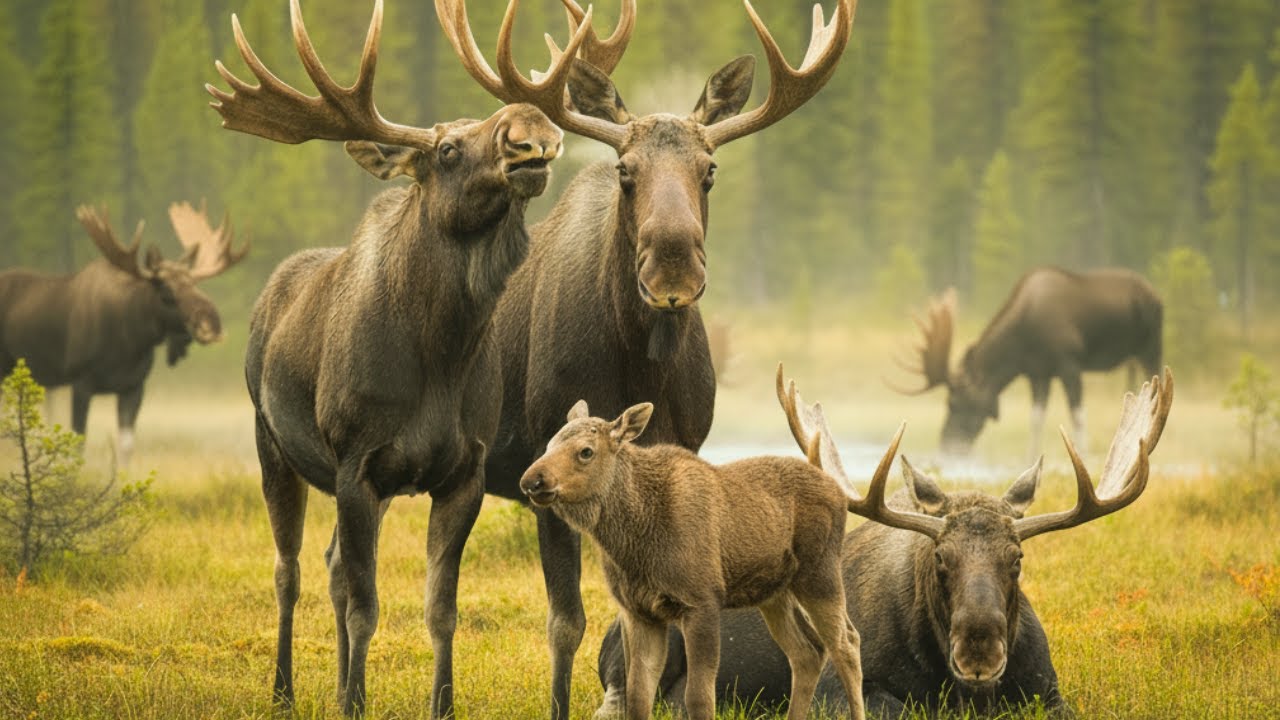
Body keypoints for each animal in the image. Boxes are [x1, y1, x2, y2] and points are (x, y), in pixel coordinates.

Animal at [0, 201, 246, 462]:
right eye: (166, 292)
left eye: (195, 284)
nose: (212, 322)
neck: (129, 343)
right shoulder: (80, 382)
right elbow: (79, 441)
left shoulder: (133, 387)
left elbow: (126, 446)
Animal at [204, 0, 580, 715]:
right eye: (447, 149)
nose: (531, 132)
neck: (440, 353)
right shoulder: (357, 461)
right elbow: (365, 608)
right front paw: (354, 701)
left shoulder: (463, 471)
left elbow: (440, 609)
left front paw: (440, 703)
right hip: (273, 444)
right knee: (291, 571)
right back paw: (286, 689)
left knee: (330, 566)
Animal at [519, 392, 869, 720]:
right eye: (550, 444)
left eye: (586, 451)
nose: (531, 480)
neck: (633, 544)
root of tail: (840, 493)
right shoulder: (639, 611)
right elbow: (638, 696)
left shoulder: (702, 601)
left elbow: (699, 699)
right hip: (775, 594)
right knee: (807, 652)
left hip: (819, 572)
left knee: (847, 642)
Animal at [594, 365, 1173, 719]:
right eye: (940, 559)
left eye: (1017, 559)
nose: (979, 647)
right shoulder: (840, 687)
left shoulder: (1049, 692)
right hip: (629, 647)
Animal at [891, 267, 1163, 456]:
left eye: (954, 403)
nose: (946, 445)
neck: (1020, 346)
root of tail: (1156, 296)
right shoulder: (1038, 374)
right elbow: (1036, 419)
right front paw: (1030, 460)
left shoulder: (1070, 365)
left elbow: (1078, 415)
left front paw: (1083, 457)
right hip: (1135, 355)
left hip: (1151, 348)